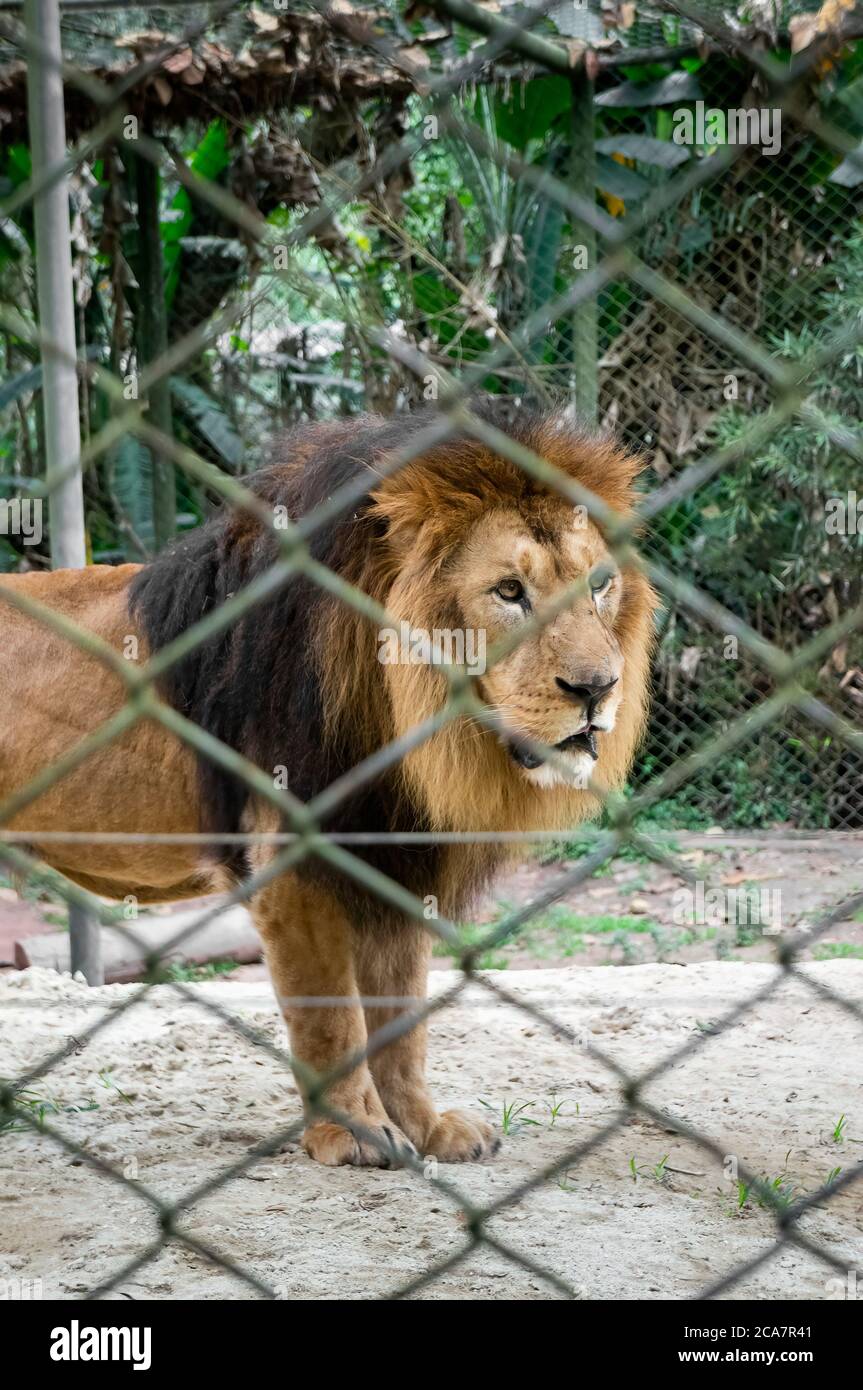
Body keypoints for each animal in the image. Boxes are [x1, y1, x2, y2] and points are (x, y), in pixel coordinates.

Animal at [0, 402, 656, 1167]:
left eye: (598, 584)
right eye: (508, 592)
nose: (597, 689)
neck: (405, 721)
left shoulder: (394, 854)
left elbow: (401, 1019)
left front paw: (425, 1128)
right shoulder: (296, 864)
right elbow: (332, 1020)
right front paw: (354, 1135)